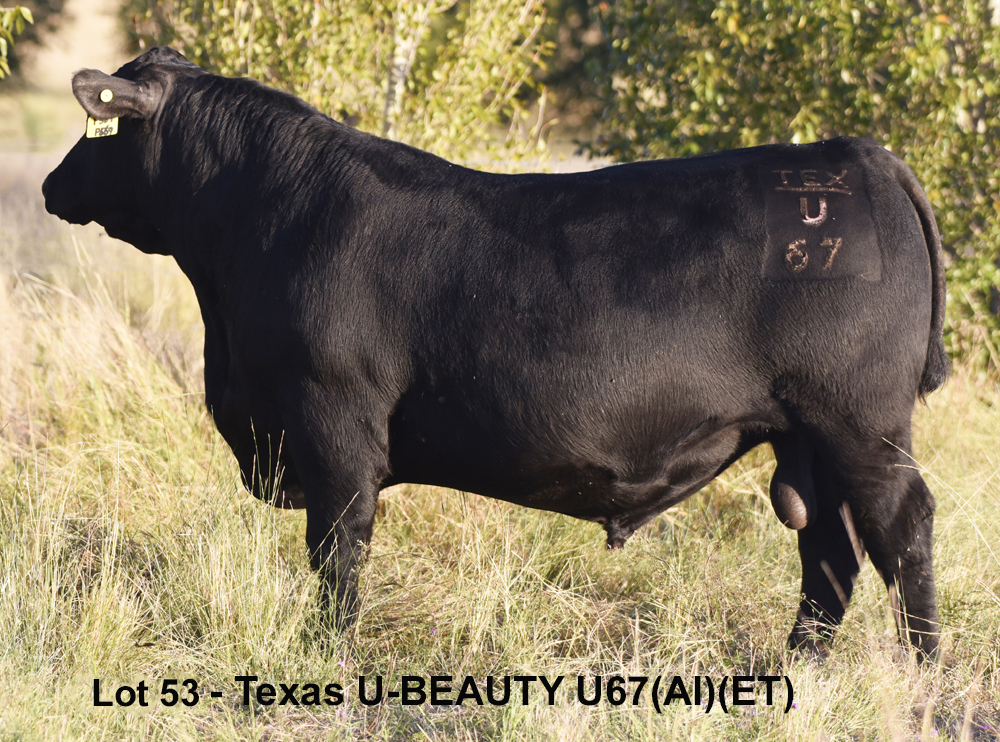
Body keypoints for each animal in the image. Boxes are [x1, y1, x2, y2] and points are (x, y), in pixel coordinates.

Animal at [43, 47, 949, 659]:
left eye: (101, 128)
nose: (53, 183)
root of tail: (852, 152)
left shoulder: (333, 420)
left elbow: (338, 550)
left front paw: (324, 651)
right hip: (809, 439)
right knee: (829, 554)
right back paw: (797, 668)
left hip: (861, 424)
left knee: (902, 529)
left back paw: (924, 668)